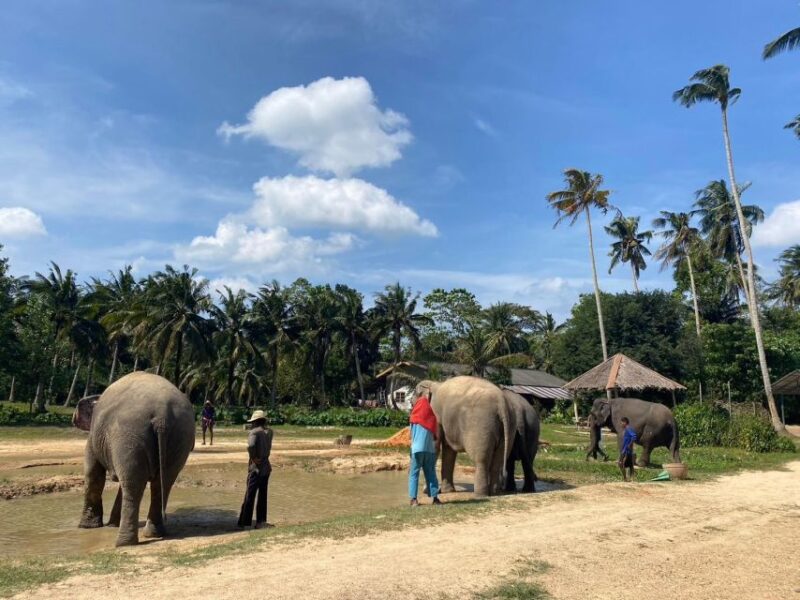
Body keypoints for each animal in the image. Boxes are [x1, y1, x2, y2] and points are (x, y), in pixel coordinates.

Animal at [73, 372, 195, 546]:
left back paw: (124, 543)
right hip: (180, 436)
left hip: (129, 435)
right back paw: (153, 534)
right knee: (163, 483)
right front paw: (109, 525)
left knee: (132, 485)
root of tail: (161, 416)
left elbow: (93, 474)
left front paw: (86, 527)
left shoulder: (93, 437)